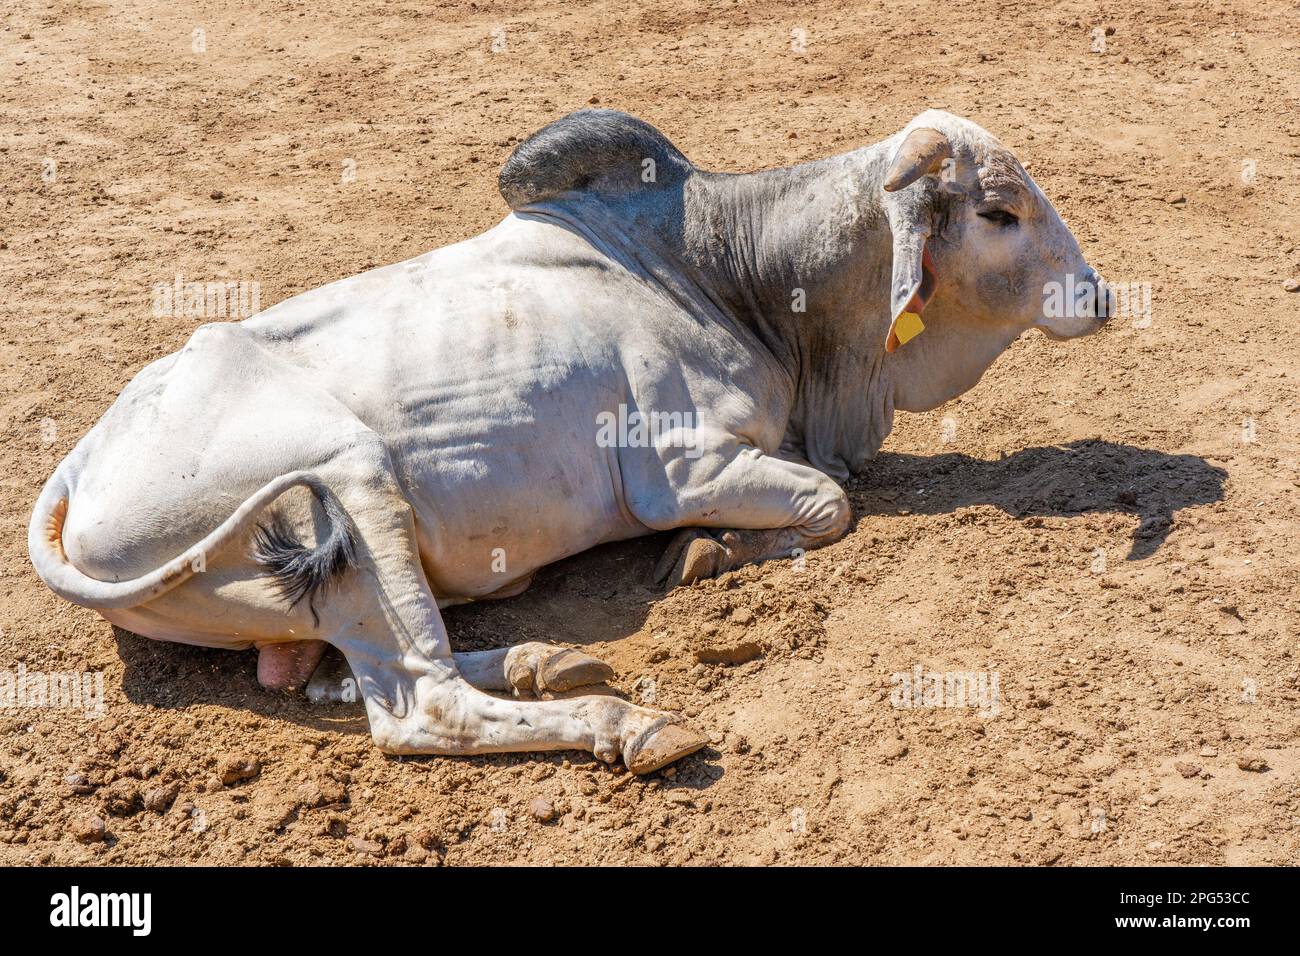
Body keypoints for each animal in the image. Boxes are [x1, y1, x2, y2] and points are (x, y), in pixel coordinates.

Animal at [29, 109, 1109, 773]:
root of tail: (81, 472)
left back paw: (541, 660)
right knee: (421, 708)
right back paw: (623, 719)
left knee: (362, 673)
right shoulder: (686, 468)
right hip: (351, 485)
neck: (728, 272)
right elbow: (829, 502)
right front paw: (711, 551)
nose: (1099, 297)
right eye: (997, 210)